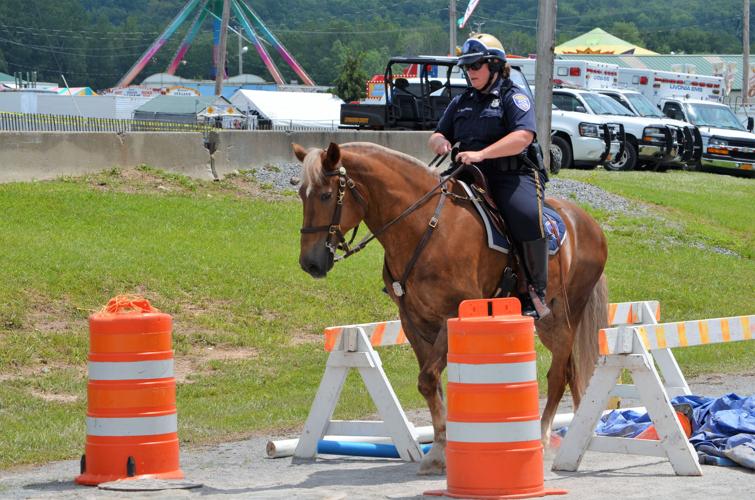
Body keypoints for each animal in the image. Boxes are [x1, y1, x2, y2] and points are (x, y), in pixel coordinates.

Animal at [293, 141, 608, 475]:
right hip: (548, 323)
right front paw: (439, 448)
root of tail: (588, 223)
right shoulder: (413, 322)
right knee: (570, 371)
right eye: (301, 193)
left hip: (564, 318)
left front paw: (440, 450)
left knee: (558, 375)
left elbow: (429, 377)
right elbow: (430, 384)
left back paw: (545, 436)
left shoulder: (453, 313)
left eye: (326, 195)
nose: (310, 263)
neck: (425, 226)